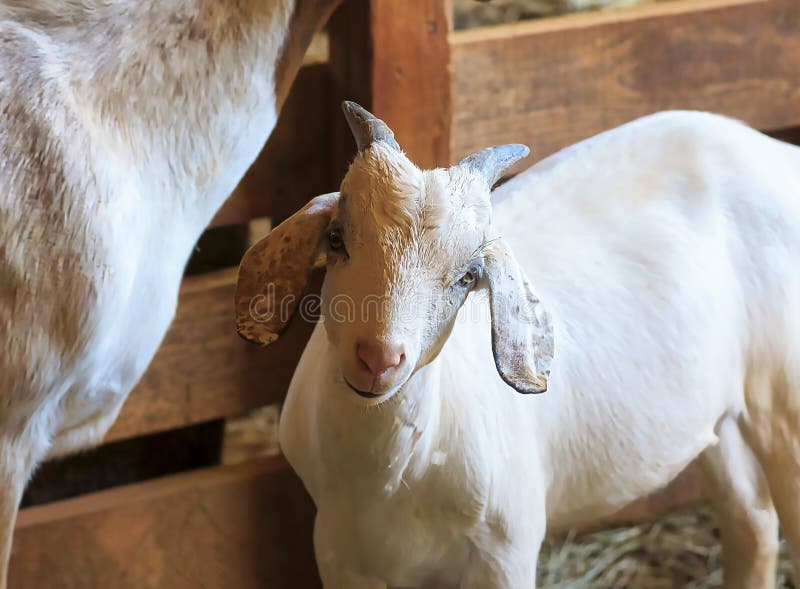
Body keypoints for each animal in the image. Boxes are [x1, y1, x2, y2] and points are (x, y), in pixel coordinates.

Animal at [236, 102, 800, 588]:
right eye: (336, 239)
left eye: (468, 276)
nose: (379, 358)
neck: (393, 475)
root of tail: (777, 153)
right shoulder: (338, 553)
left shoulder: (504, 548)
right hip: (723, 416)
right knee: (753, 520)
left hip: (784, 404)